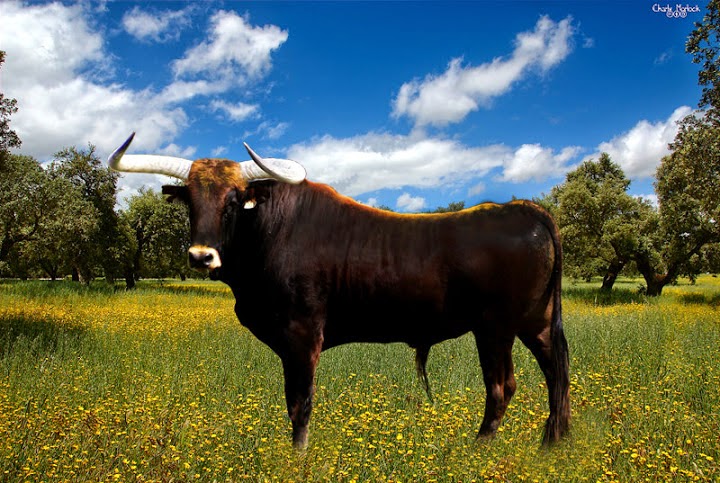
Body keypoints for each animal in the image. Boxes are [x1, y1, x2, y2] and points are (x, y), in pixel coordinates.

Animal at [108, 133, 570, 449]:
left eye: (235, 200)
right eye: (191, 200)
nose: (201, 256)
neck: (271, 230)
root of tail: (524, 209)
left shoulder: (302, 336)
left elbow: (300, 405)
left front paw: (297, 458)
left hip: (495, 328)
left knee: (502, 387)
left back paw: (477, 449)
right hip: (536, 322)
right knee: (557, 373)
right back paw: (553, 443)